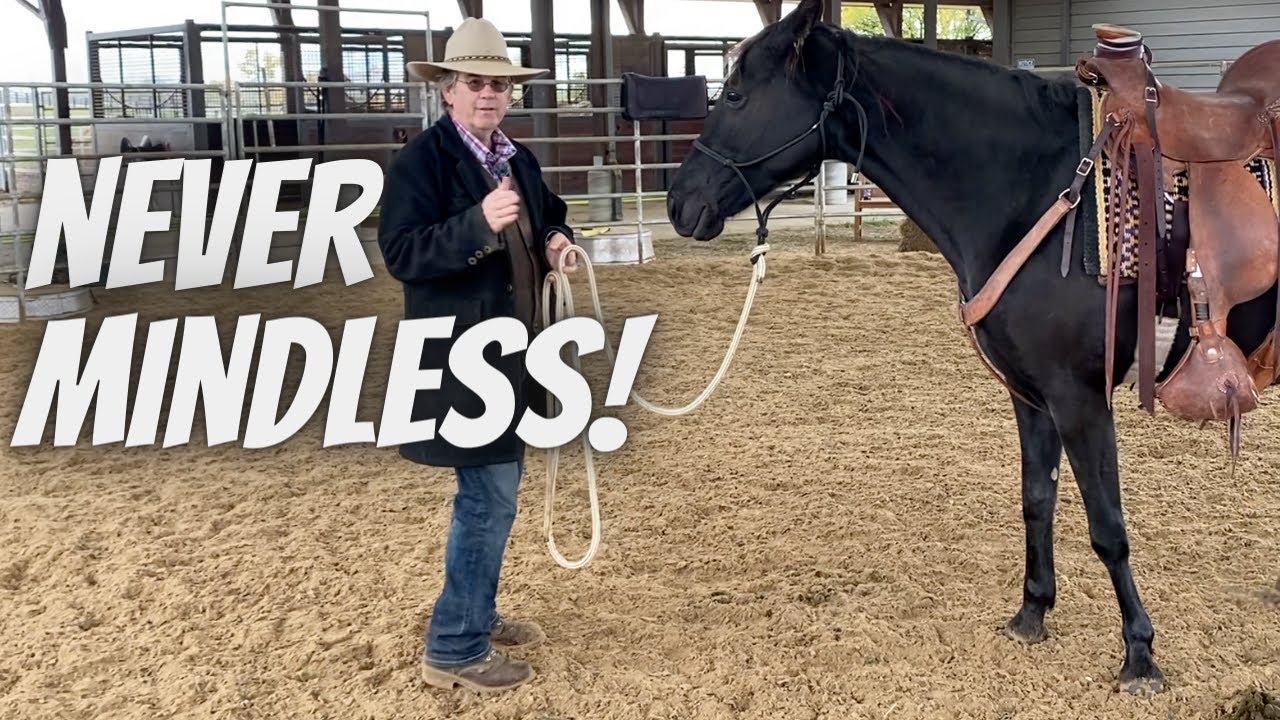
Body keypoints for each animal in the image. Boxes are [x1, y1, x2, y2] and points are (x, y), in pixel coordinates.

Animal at [665, 0, 1278, 697]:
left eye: (735, 95)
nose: (680, 202)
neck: (1038, 189)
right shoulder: (1033, 398)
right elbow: (1037, 500)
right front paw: (1032, 612)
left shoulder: (1080, 400)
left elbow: (1107, 526)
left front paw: (1140, 654)